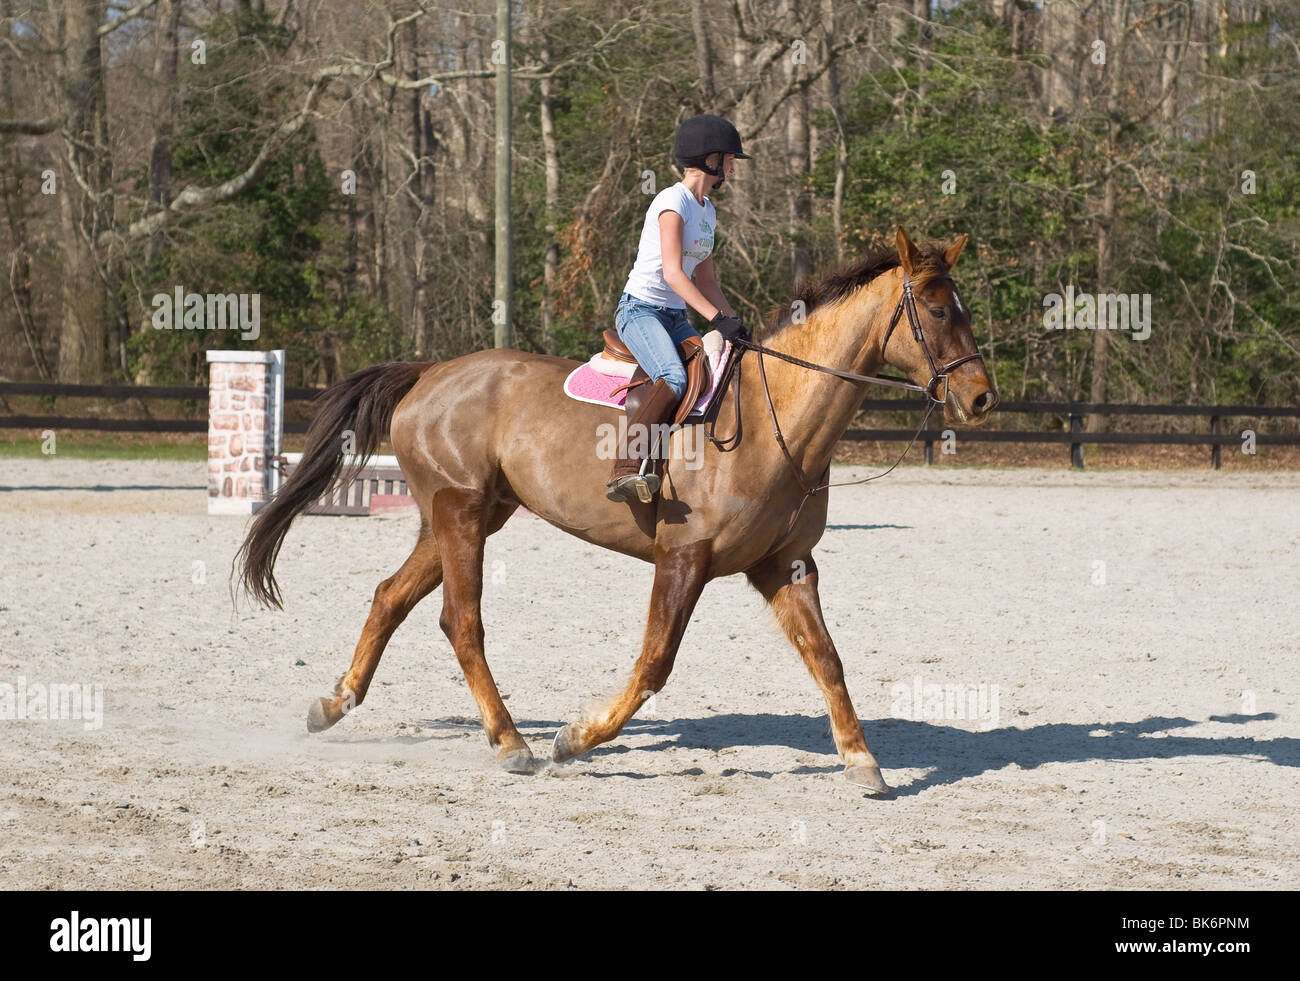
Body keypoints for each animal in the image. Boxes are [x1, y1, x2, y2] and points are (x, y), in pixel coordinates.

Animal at [236, 226, 997, 796]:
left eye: (963, 306)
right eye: (936, 310)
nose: (981, 398)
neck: (778, 417)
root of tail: (430, 373)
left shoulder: (786, 564)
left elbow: (827, 659)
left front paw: (862, 761)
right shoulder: (684, 558)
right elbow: (656, 662)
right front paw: (576, 738)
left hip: (467, 515)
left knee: (390, 596)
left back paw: (332, 705)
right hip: (460, 512)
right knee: (461, 621)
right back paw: (512, 742)